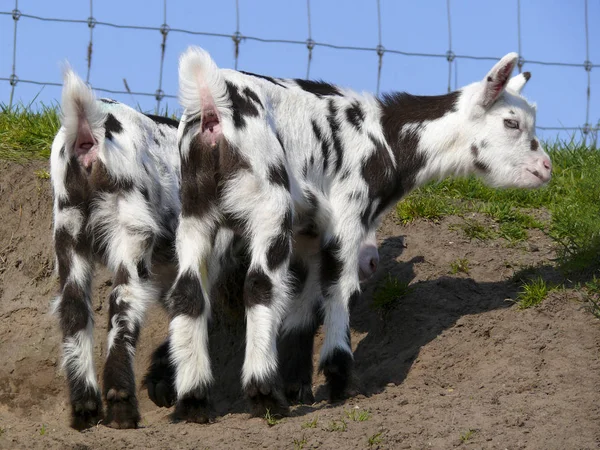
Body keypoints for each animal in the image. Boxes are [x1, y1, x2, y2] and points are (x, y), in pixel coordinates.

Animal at [156, 46, 552, 422]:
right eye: (512, 123)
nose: (546, 167)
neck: (386, 139)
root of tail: (212, 102)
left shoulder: (310, 236)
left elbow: (303, 305)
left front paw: (300, 385)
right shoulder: (346, 217)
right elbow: (339, 289)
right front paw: (340, 380)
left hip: (196, 211)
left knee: (188, 292)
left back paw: (194, 403)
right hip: (269, 202)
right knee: (259, 286)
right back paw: (264, 396)